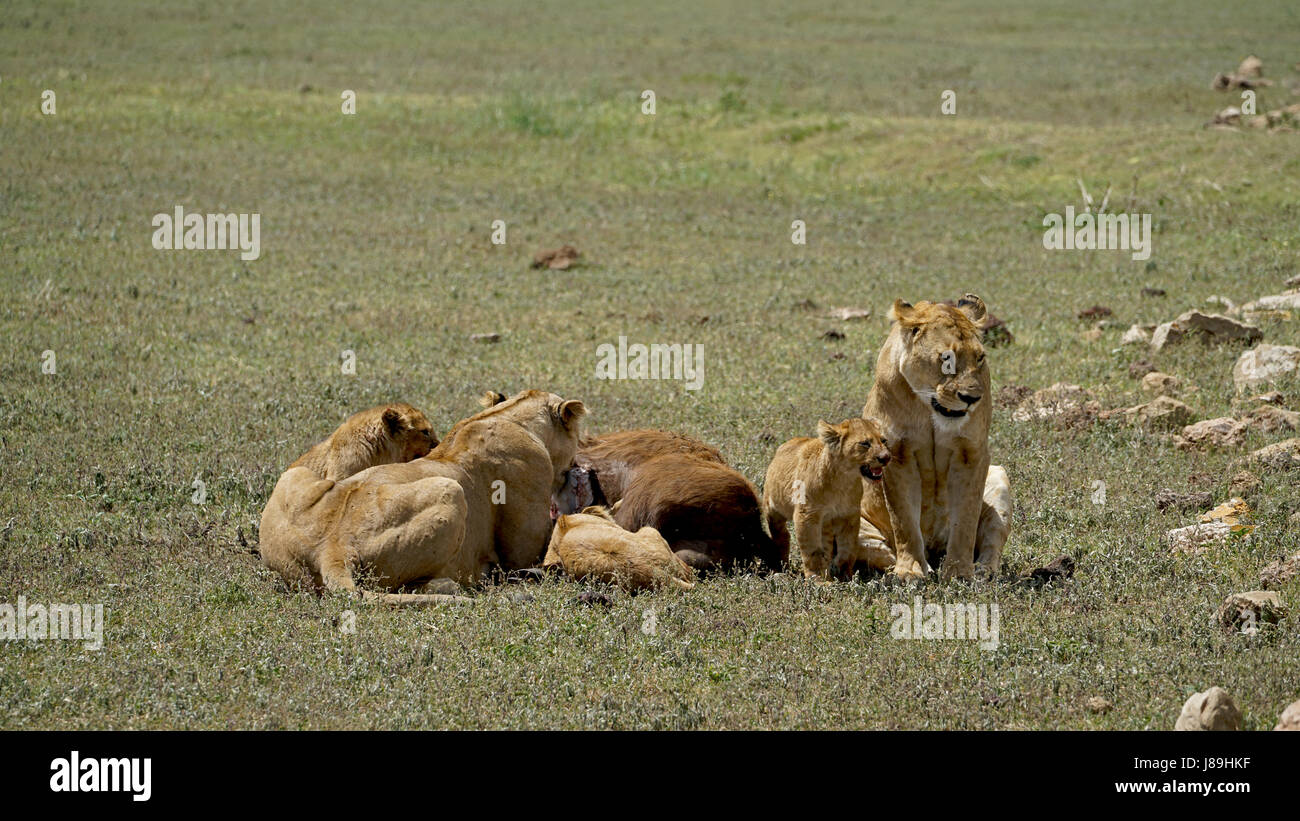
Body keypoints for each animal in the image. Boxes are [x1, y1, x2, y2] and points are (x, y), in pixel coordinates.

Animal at [763, 418, 892, 579]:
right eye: (865, 443)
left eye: (884, 440)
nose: (886, 457)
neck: (843, 480)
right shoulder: (807, 514)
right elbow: (812, 551)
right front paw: (818, 579)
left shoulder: (849, 515)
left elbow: (848, 548)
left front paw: (844, 575)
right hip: (773, 508)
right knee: (781, 535)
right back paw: (781, 568)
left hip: (826, 523)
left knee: (826, 544)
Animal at [859, 294, 1014, 581]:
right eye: (946, 358)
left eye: (980, 358)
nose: (972, 398)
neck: (929, 406)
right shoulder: (897, 453)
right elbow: (903, 520)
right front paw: (910, 571)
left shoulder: (972, 453)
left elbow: (965, 519)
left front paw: (959, 572)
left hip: (999, 481)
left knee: (992, 542)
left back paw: (983, 571)